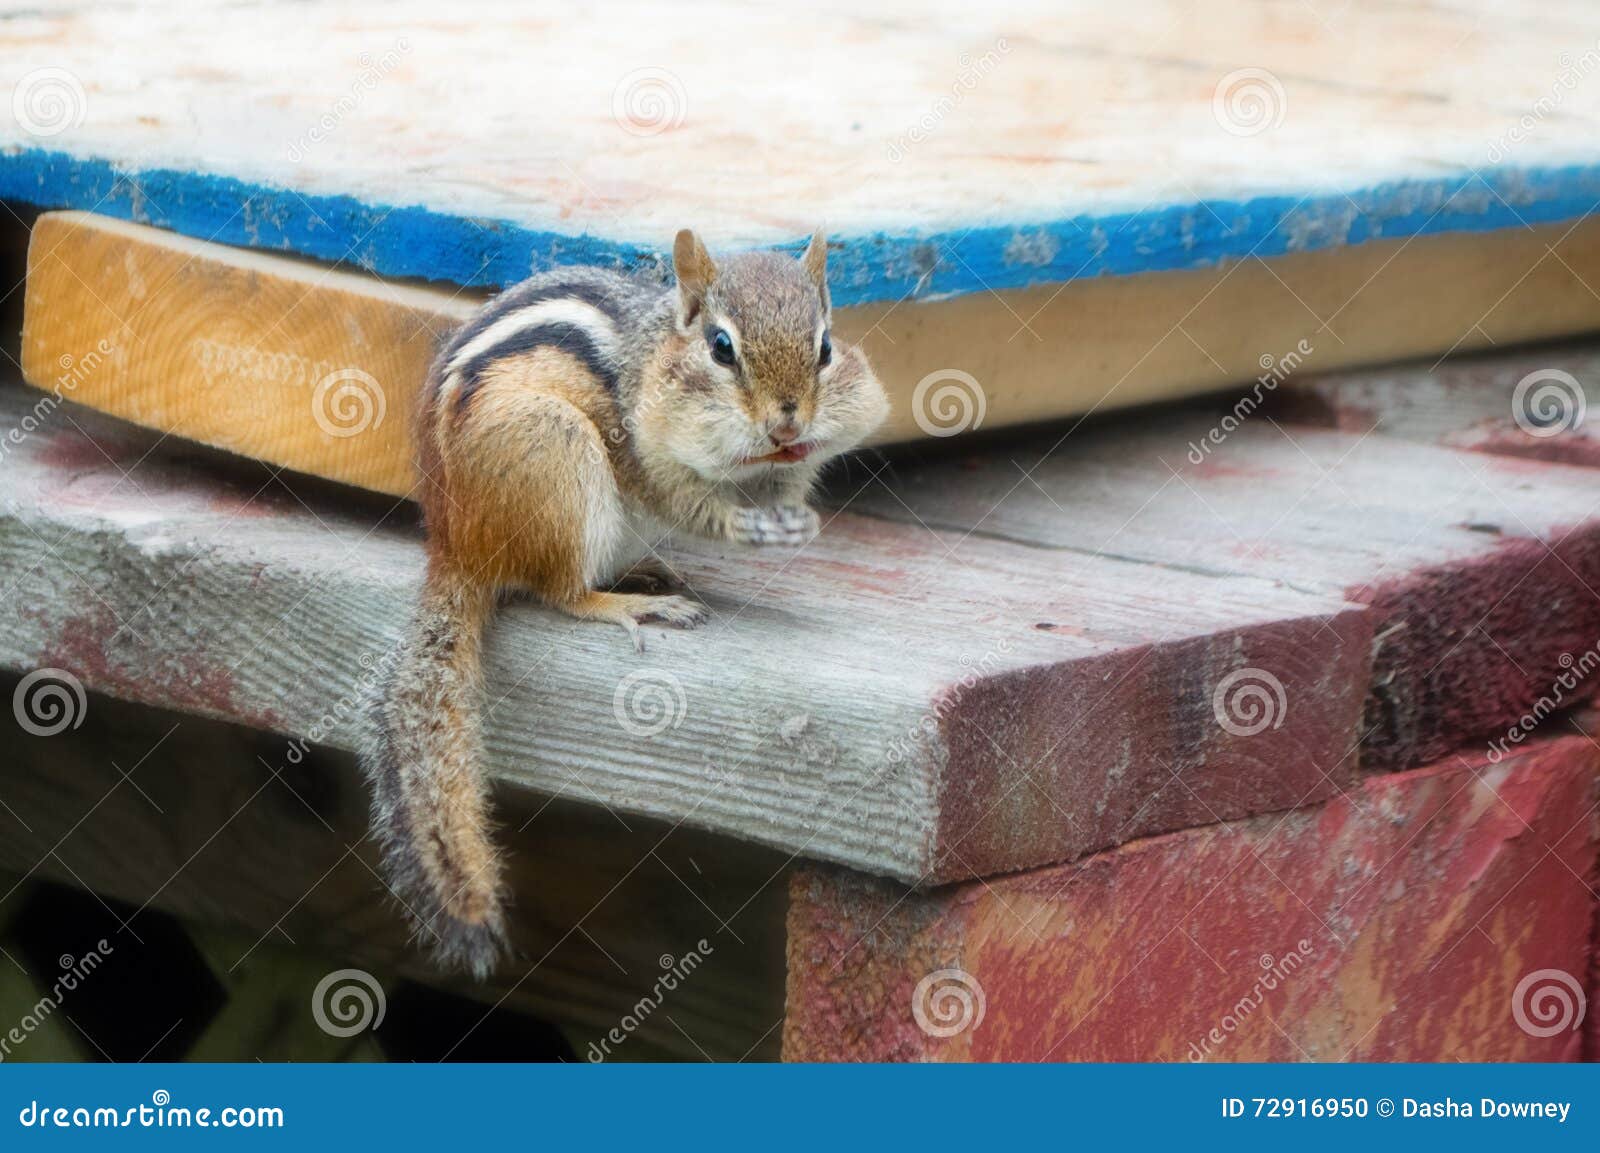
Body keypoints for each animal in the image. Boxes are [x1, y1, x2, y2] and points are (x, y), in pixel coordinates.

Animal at [361, 228, 889, 976]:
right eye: (721, 348)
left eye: (825, 349)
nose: (788, 420)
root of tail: (456, 543)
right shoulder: (644, 452)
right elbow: (686, 504)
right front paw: (744, 527)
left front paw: (795, 518)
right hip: (557, 453)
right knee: (559, 590)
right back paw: (624, 604)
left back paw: (647, 573)